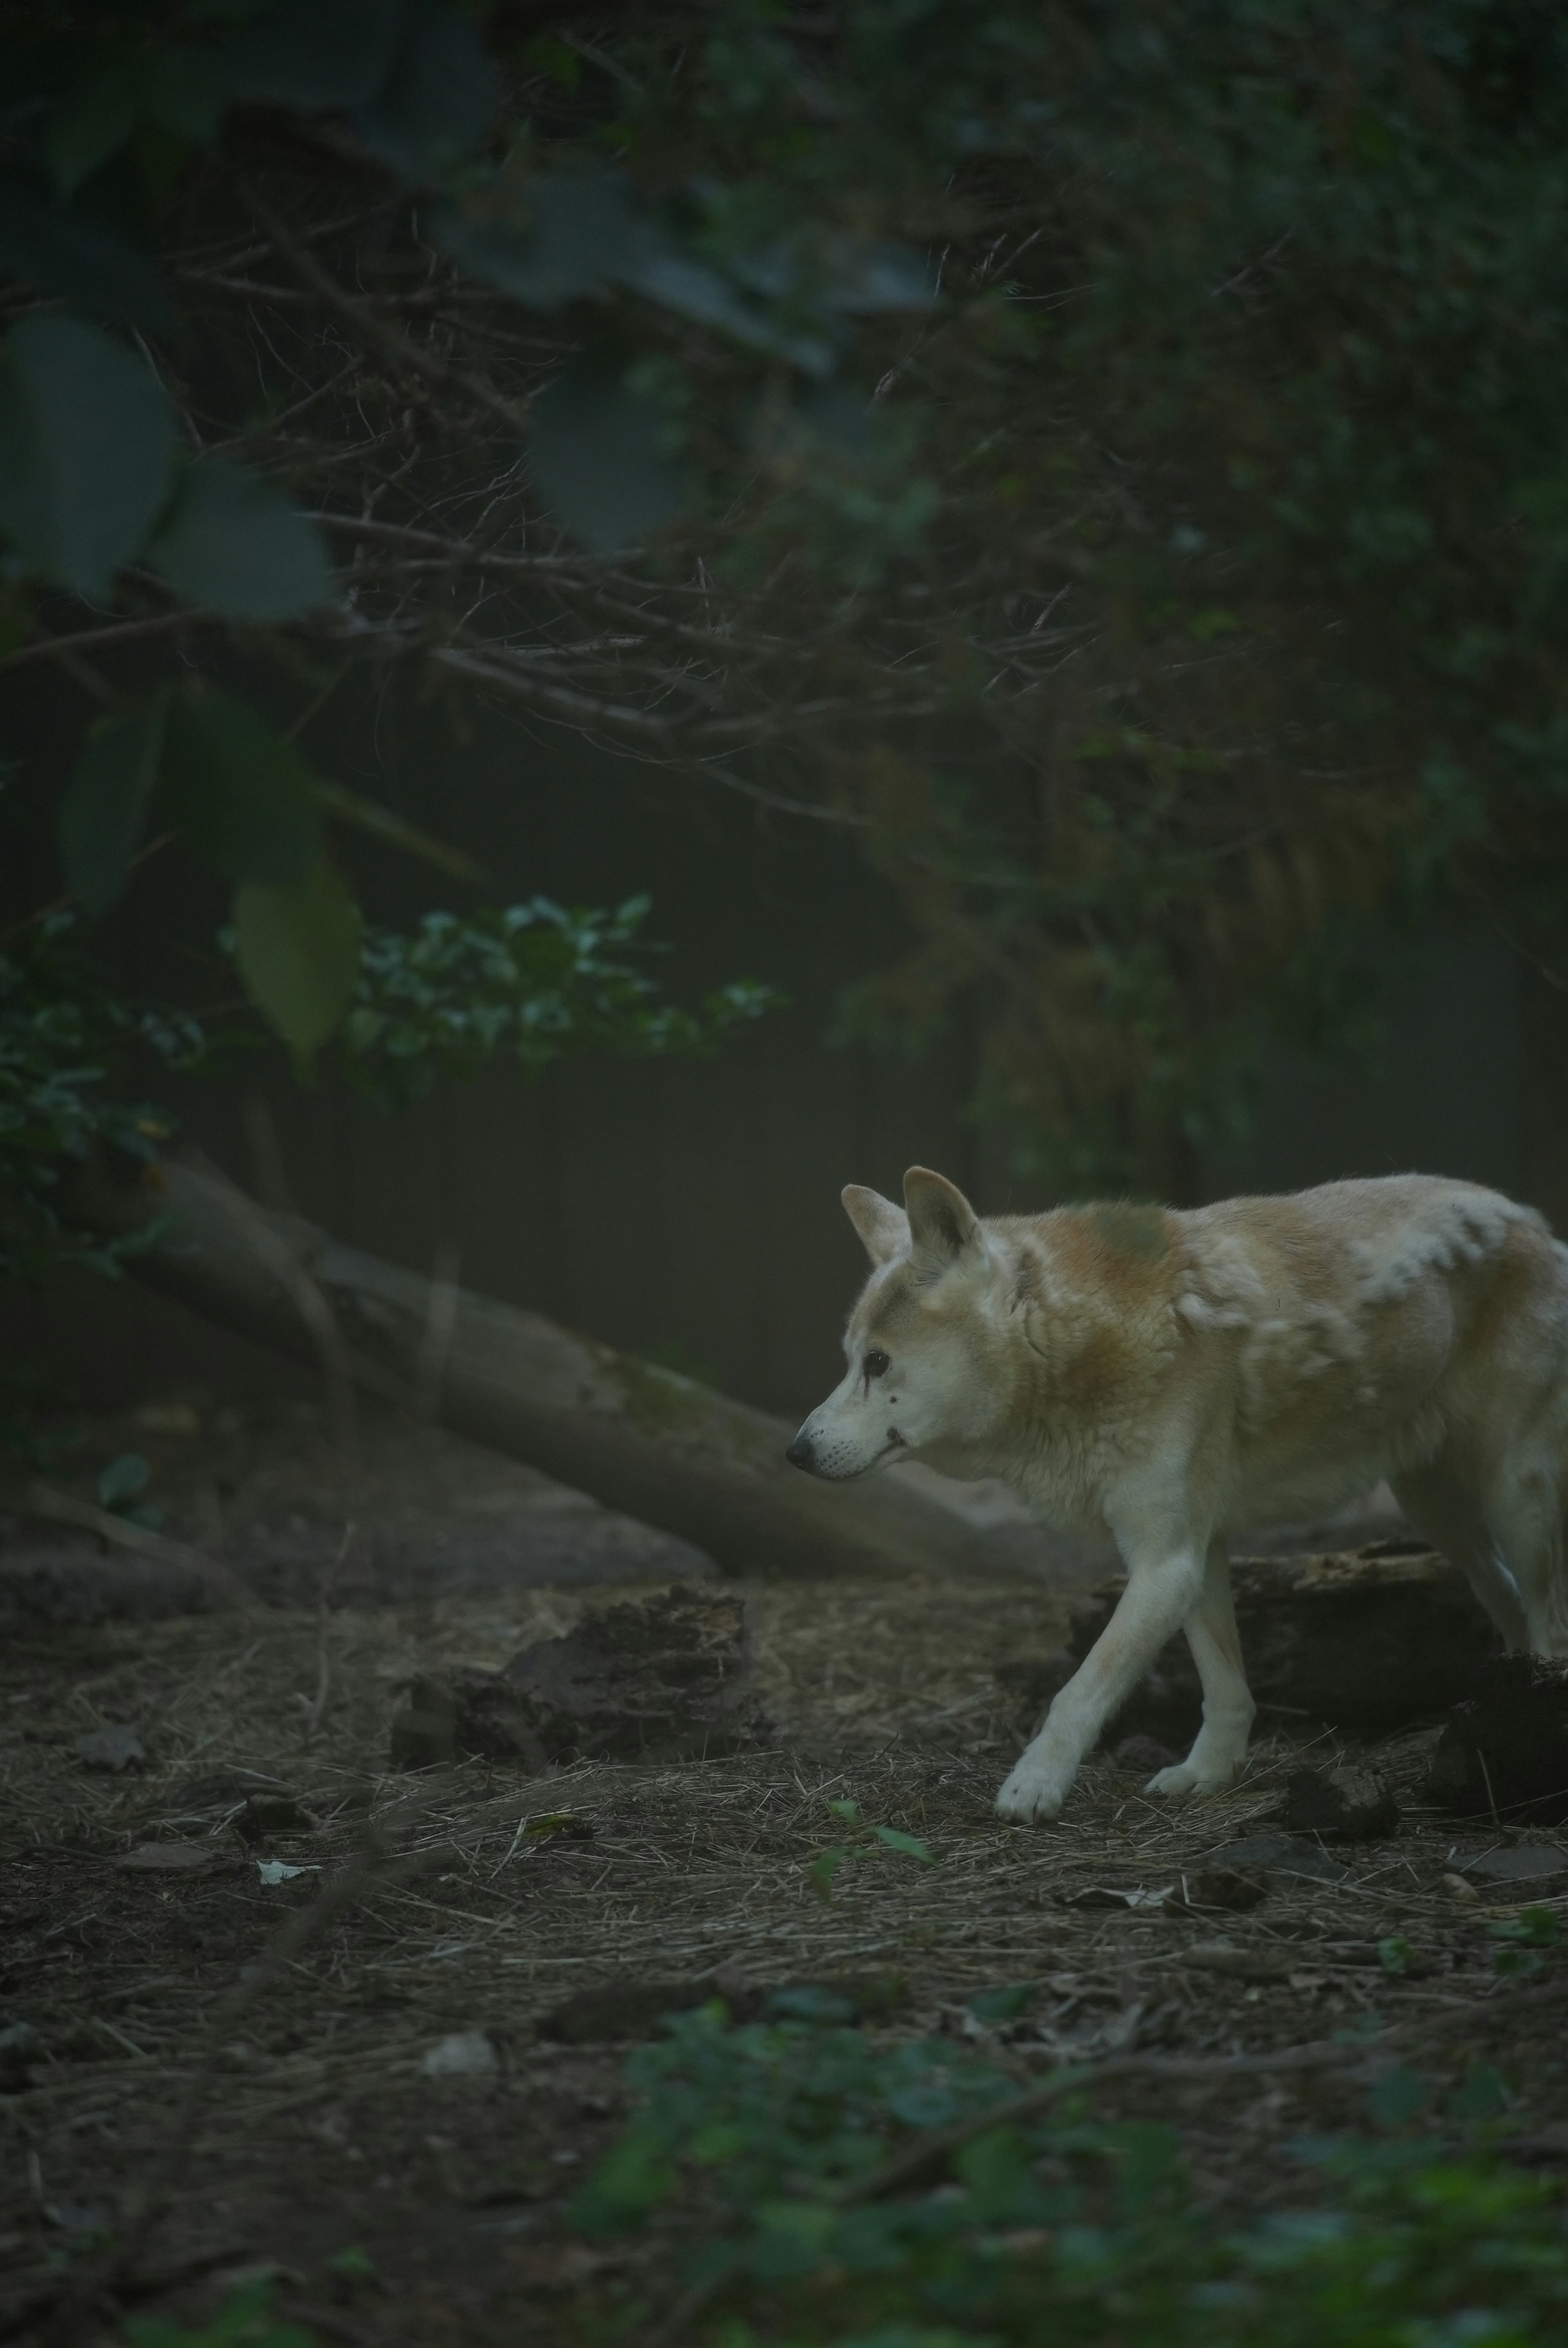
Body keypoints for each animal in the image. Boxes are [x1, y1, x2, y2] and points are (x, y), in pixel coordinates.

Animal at [785, 1166, 1568, 1823]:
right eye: (849, 1360)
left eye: (877, 1362)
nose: (795, 1451)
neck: (1087, 1344)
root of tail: (1527, 1215)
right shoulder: (1194, 1555)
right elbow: (1225, 1688)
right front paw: (1209, 1775)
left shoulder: (1164, 1562)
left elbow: (1076, 1691)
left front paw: (1033, 1787)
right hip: (1439, 1516)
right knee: (1505, 1602)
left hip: (1515, 1502)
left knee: (1547, 1619)